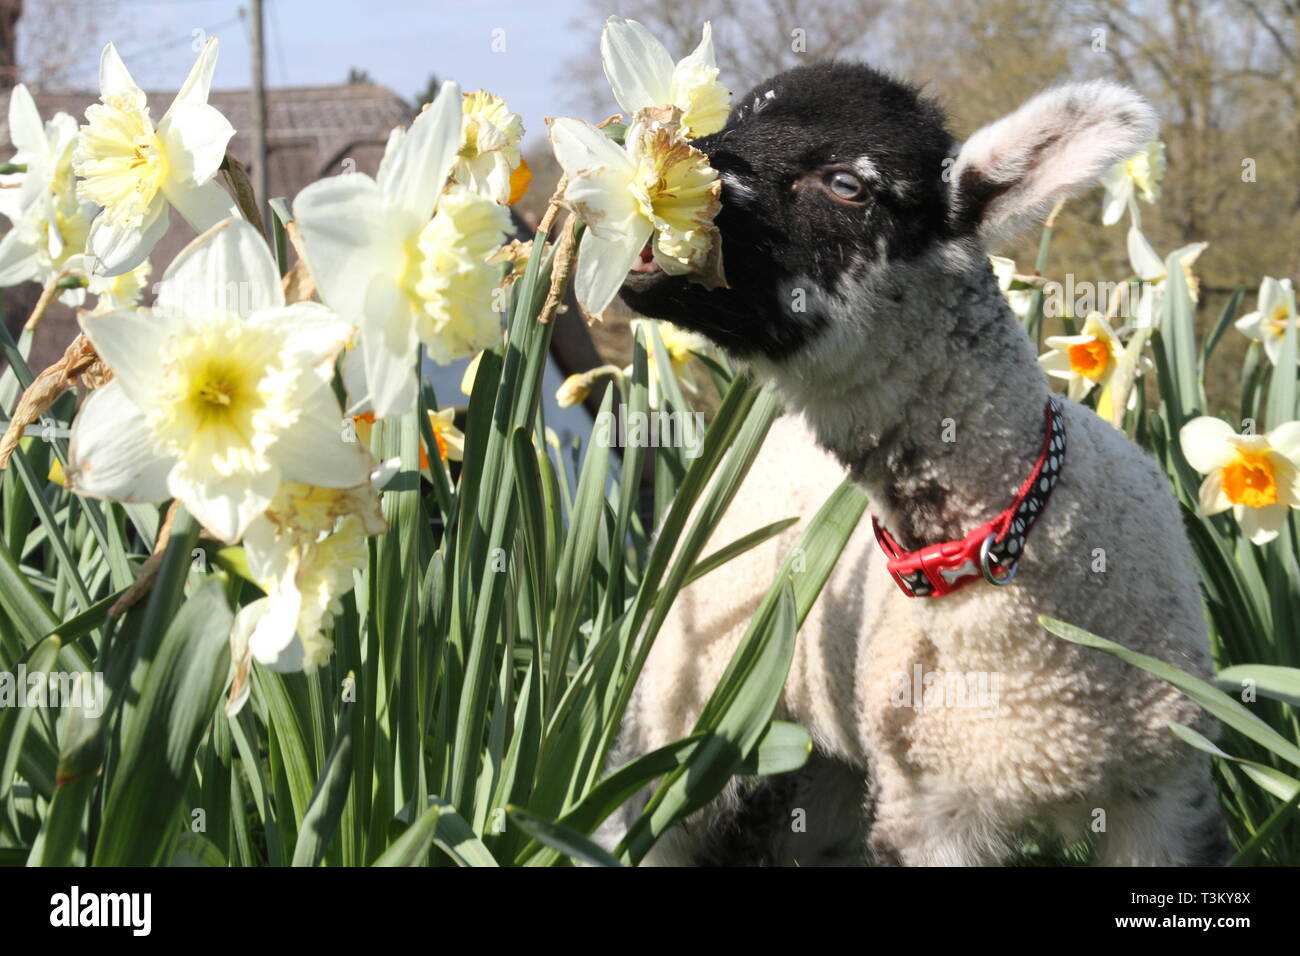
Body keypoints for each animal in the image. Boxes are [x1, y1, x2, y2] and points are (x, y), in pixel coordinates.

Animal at [601, 62, 1228, 866]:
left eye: (848, 183)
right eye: (732, 120)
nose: (650, 180)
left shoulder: (1166, 792)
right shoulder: (928, 805)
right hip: (678, 701)